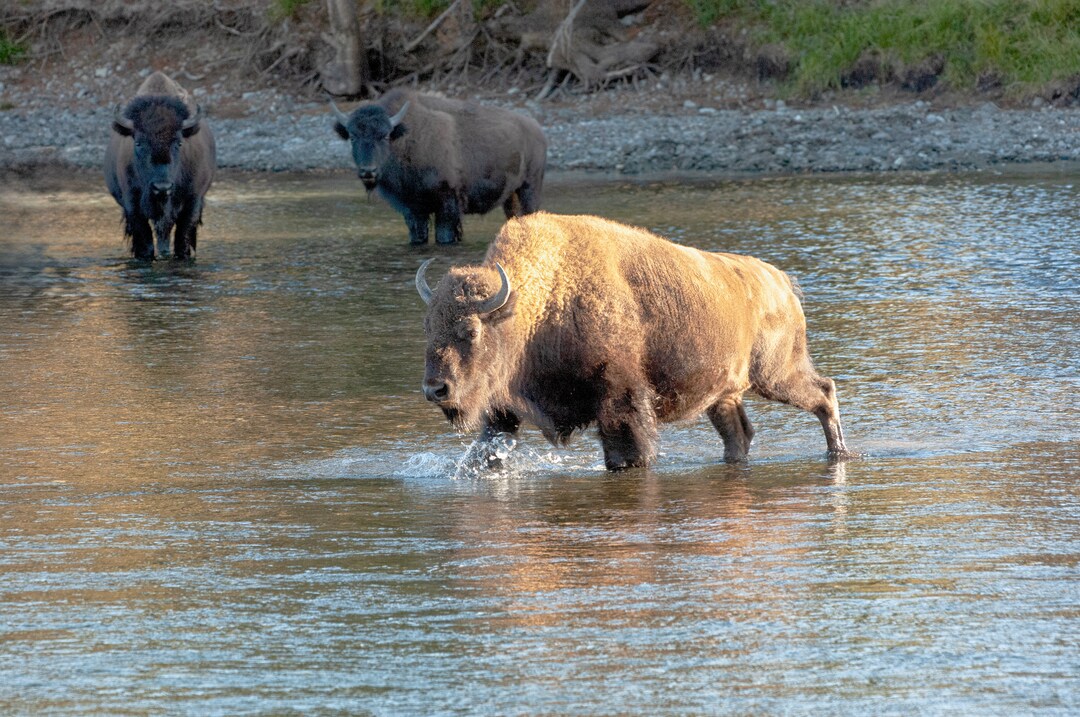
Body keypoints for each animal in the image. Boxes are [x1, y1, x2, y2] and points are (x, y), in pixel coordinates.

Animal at [105, 72, 216, 260]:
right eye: (138, 143)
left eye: (179, 142)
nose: (162, 187)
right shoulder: (132, 204)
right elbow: (145, 241)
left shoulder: (193, 201)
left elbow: (182, 239)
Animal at [330, 89, 547, 245]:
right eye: (352, 136)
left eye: (384, 135)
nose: (368, 171)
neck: (405, 138)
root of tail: (536, 129)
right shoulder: (413, 209)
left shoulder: (447, 203)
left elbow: (445, 235)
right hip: (511, 196)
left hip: (529, 188)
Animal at [415, 212, 852, 470]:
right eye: (428, 328)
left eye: (471, 331)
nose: (436, 389)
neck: (536, 304)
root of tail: (781, 283)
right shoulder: (502, 409)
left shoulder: (621, 401)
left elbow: (628, 452)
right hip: (725, 394)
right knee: (739, 433)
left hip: (777, 375)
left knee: (824, 392)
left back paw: (839, 453)